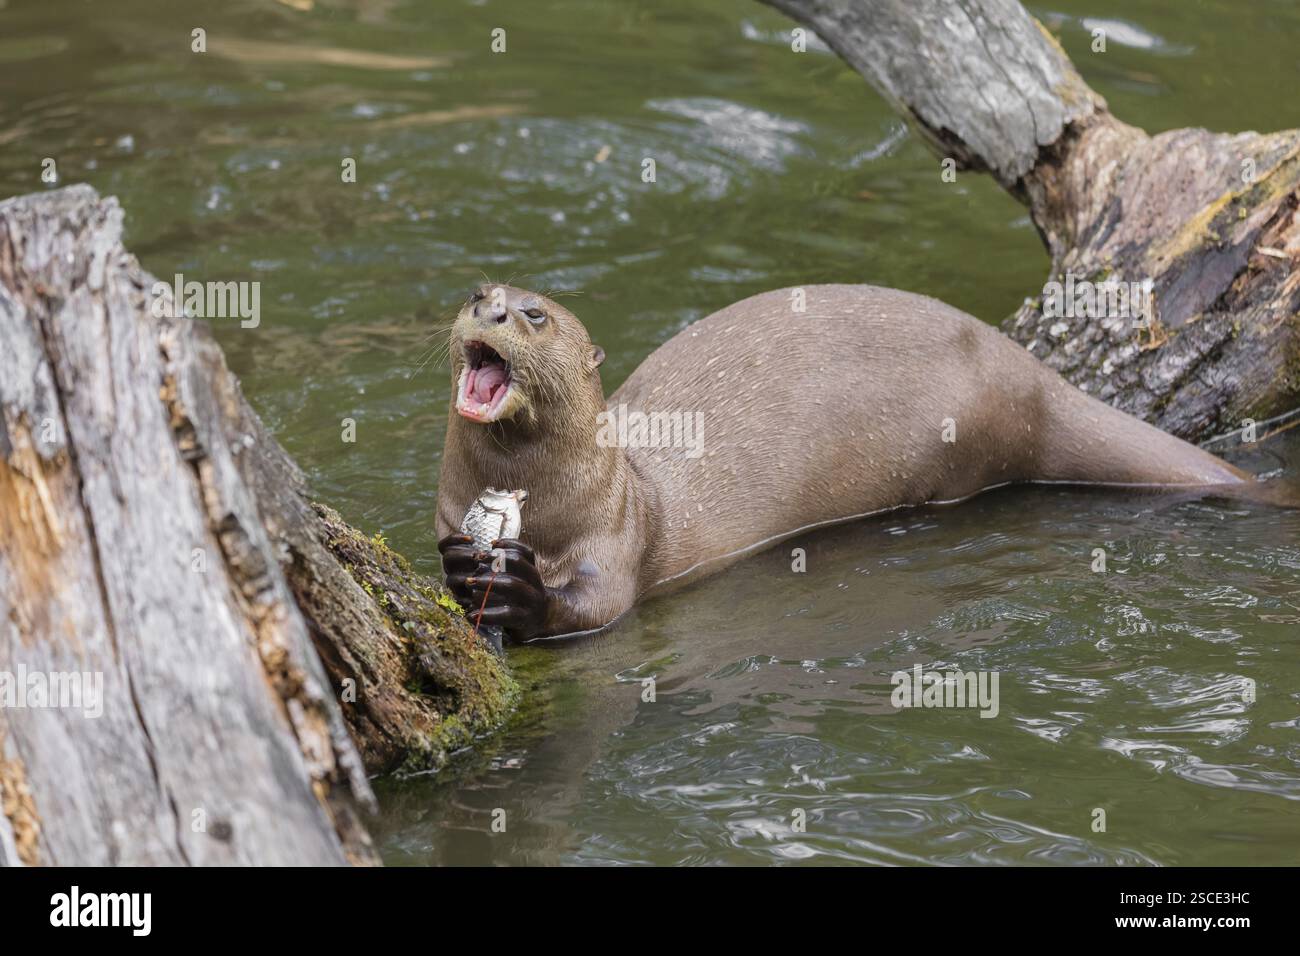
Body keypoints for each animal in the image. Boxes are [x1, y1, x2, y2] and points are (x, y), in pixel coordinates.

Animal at [437, 283, 1254, 641]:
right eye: (478, 291)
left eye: (535, 314)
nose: (489, 308)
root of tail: (1035, 382)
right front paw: (460, 567)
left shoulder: (616, 536)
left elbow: (598, 608)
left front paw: (517, 594)